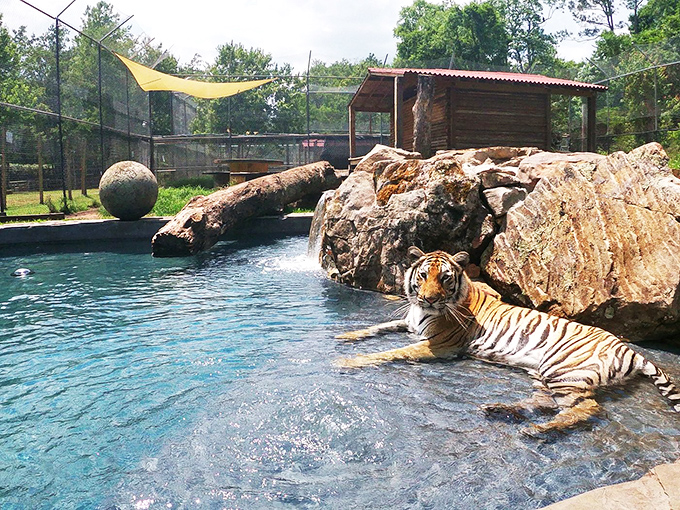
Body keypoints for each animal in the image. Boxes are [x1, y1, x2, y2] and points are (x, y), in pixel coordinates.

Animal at [336, 246, 680, 435]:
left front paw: (348, 361)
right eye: (422, 276)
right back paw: (500, 410)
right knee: (543, 403)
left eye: (445, 278)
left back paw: (537, 432)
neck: (423, 312)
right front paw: (343, 336)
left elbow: (391, 352)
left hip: (562, 370)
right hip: (543, 373)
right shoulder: (409, 324)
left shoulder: (440, 345)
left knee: (587, 410)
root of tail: (628, 347)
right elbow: (377, 327)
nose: (430, 299)